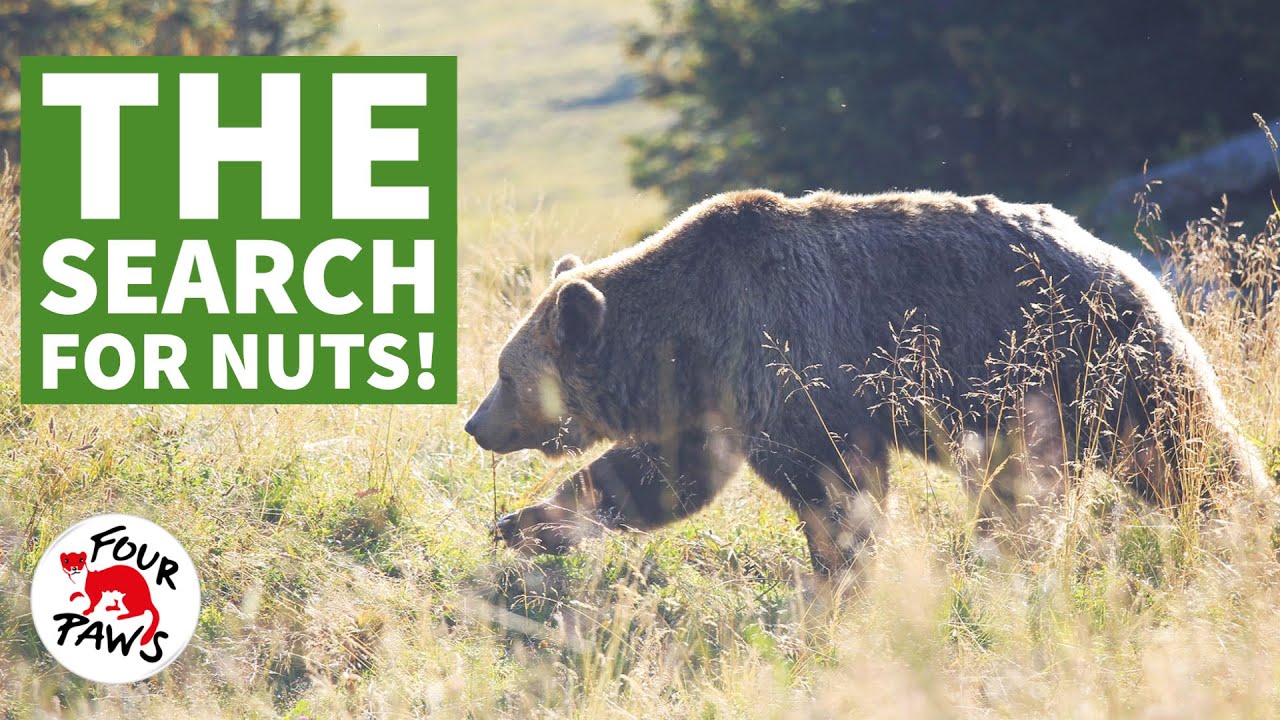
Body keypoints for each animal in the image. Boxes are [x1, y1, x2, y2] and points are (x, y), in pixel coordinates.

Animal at [464, 189, 1267, 573]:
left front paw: (841, 564)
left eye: (505, 373)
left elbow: (832, 482)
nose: (475, 424)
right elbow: (662, 476)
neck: (688, 339)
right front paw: (524, 523)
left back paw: (1237, 511)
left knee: (1177, 446)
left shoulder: (790, 362)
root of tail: (1128, 260)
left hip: (1076, 358)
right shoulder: (716, 402)